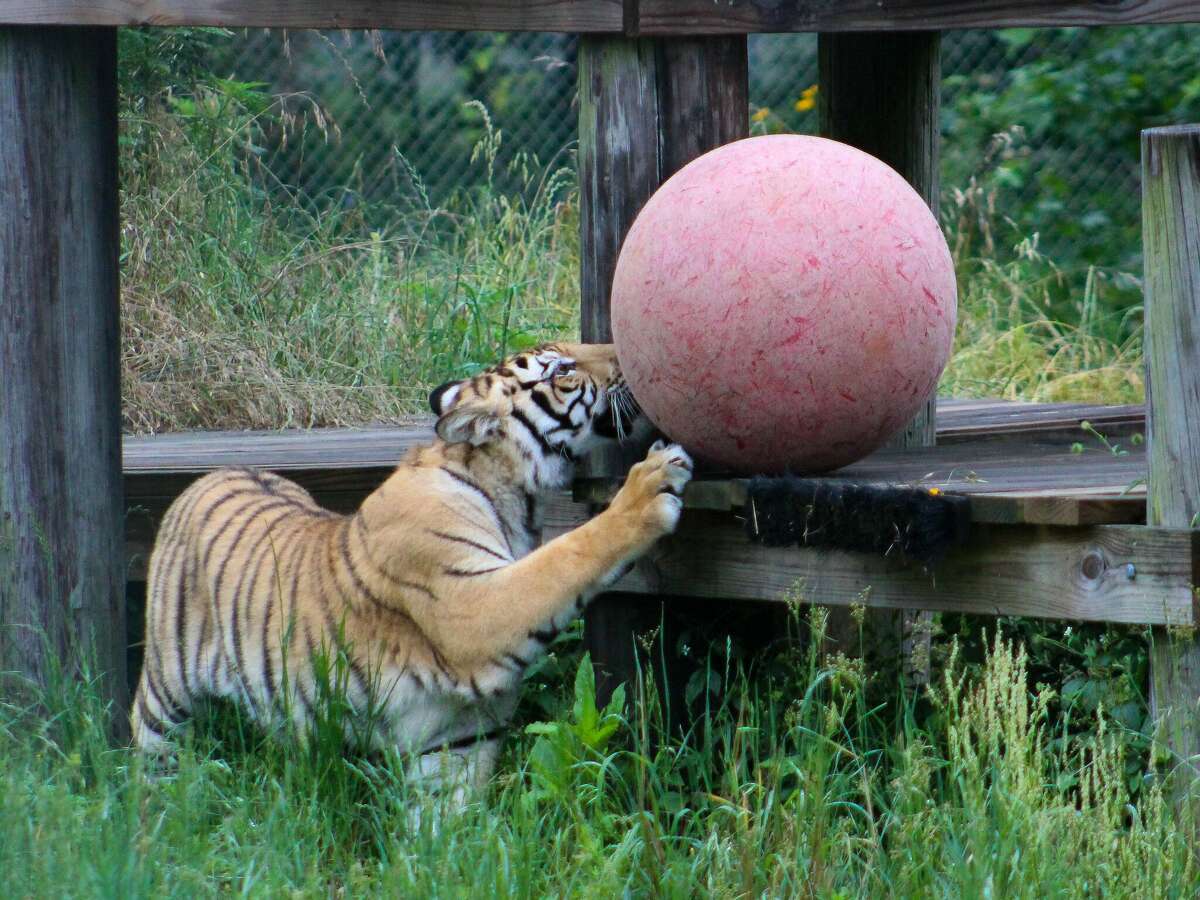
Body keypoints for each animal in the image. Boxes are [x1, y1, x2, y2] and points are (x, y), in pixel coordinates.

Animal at [131, 342, 692, 802]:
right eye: (563, 370)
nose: (624, 358)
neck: (515, 495)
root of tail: (208, 474)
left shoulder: (456, 736)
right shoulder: (475, 609)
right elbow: (573, 552)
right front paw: (651, 482)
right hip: (166, 693)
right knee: (150, 743)